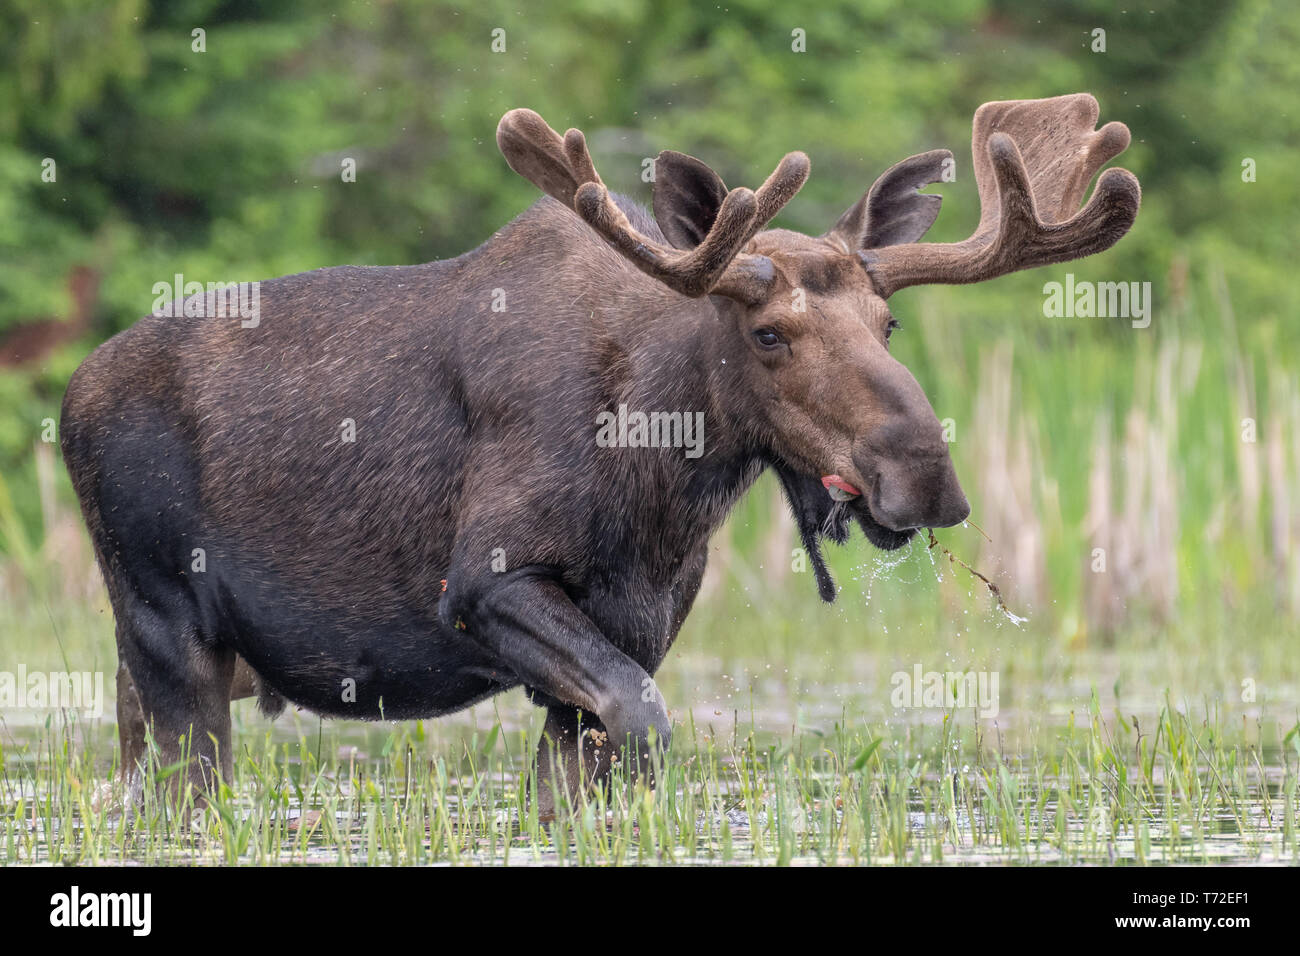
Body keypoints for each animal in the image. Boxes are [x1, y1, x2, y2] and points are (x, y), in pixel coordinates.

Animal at [60, 94, 1139, 813]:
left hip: (158, 662)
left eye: (889, 322)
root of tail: (70, 395)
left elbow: (583, 778)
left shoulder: (642, 622)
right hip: (166, 626)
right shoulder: (486, 582)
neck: (666, 480)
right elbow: (645, 728)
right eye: (768, 334)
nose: (926, 475)